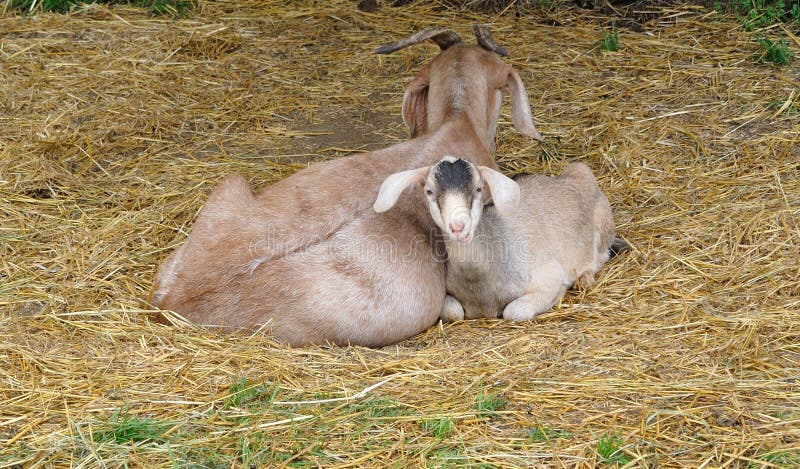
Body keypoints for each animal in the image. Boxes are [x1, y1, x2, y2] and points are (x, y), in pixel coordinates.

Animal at [374, 157, 629, 322]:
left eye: (478, 188)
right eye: (429, 191)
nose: (458, 227)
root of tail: (568, 178)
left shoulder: (549, 277)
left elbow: (513, 312)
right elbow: (454, 313)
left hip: (603, 223)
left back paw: (585, 277)